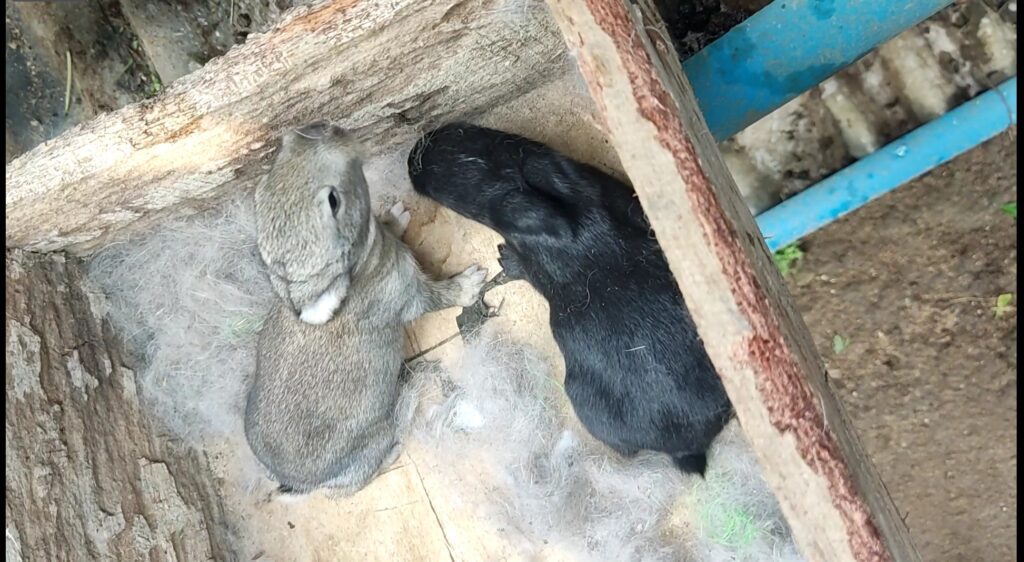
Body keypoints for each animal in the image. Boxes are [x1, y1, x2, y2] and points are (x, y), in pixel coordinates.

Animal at [245, 122, 488, 498]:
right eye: (333, 201)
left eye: (282, 153)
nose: (331, 131)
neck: (357, 270)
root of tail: (303, 486)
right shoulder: (406, 293)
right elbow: (436, 297)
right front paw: (471, 283)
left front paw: (395, 217)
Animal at [407, 123, 733, 476]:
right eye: (476, 134)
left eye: (455, 197)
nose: (412, 157)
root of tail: (692, 447)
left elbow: (521, 267)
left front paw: (505, 256)